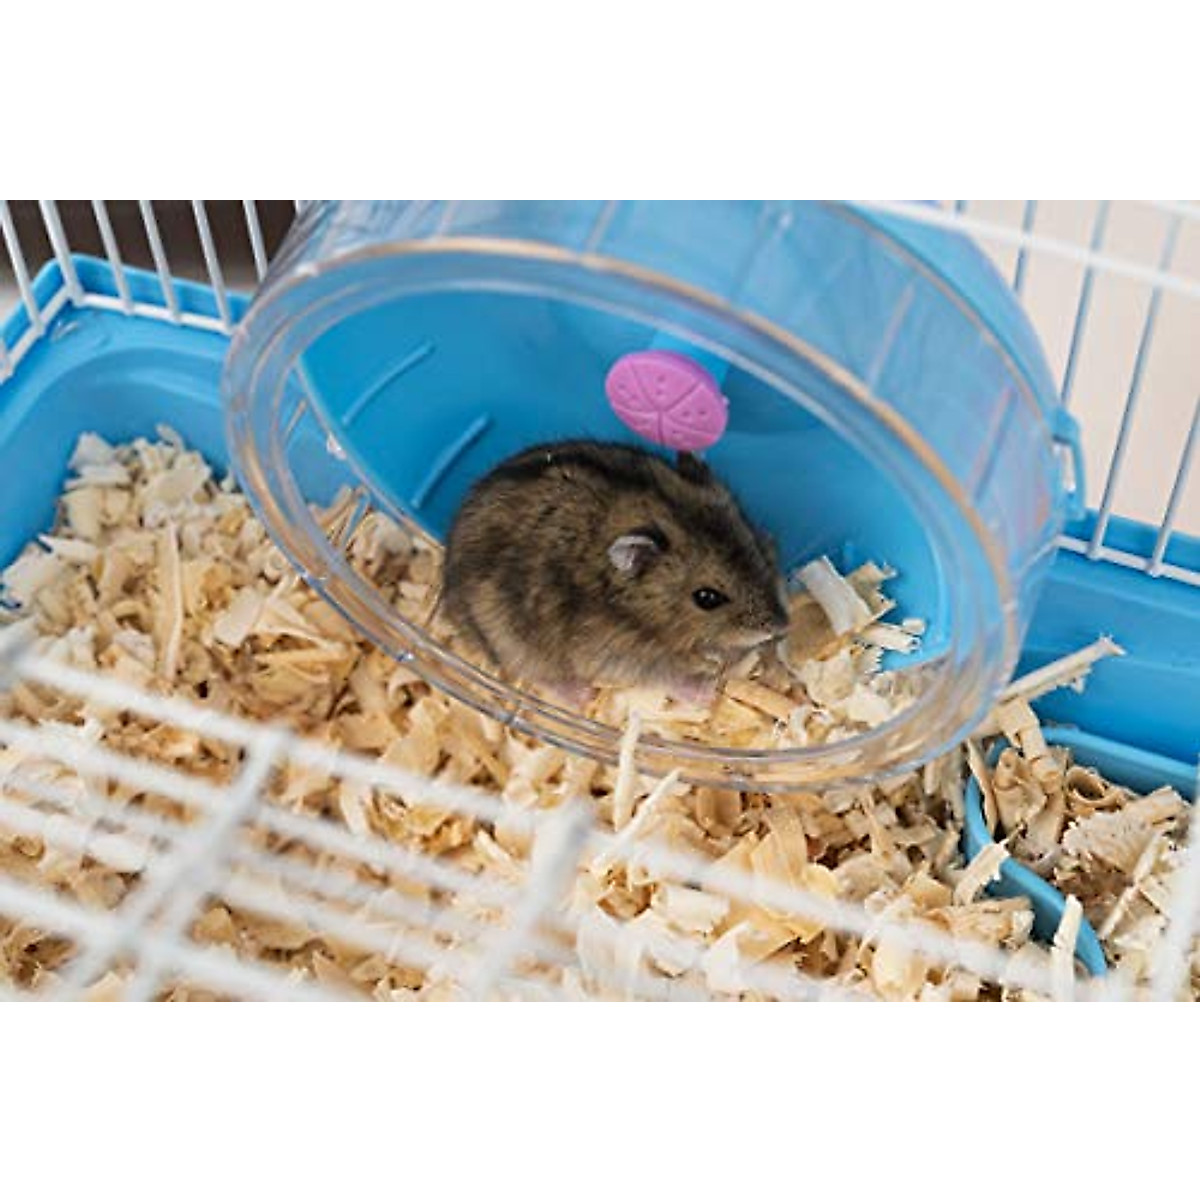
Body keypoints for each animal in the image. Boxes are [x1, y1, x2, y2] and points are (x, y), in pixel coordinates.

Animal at [440, 439, 790, 704]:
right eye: (707, 598)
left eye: (755, 545)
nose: (781, 627)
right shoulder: (622, 655)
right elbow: (669, 675)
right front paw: (706, 694)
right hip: (509, 639)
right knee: (536, 672)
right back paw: (582, 696)